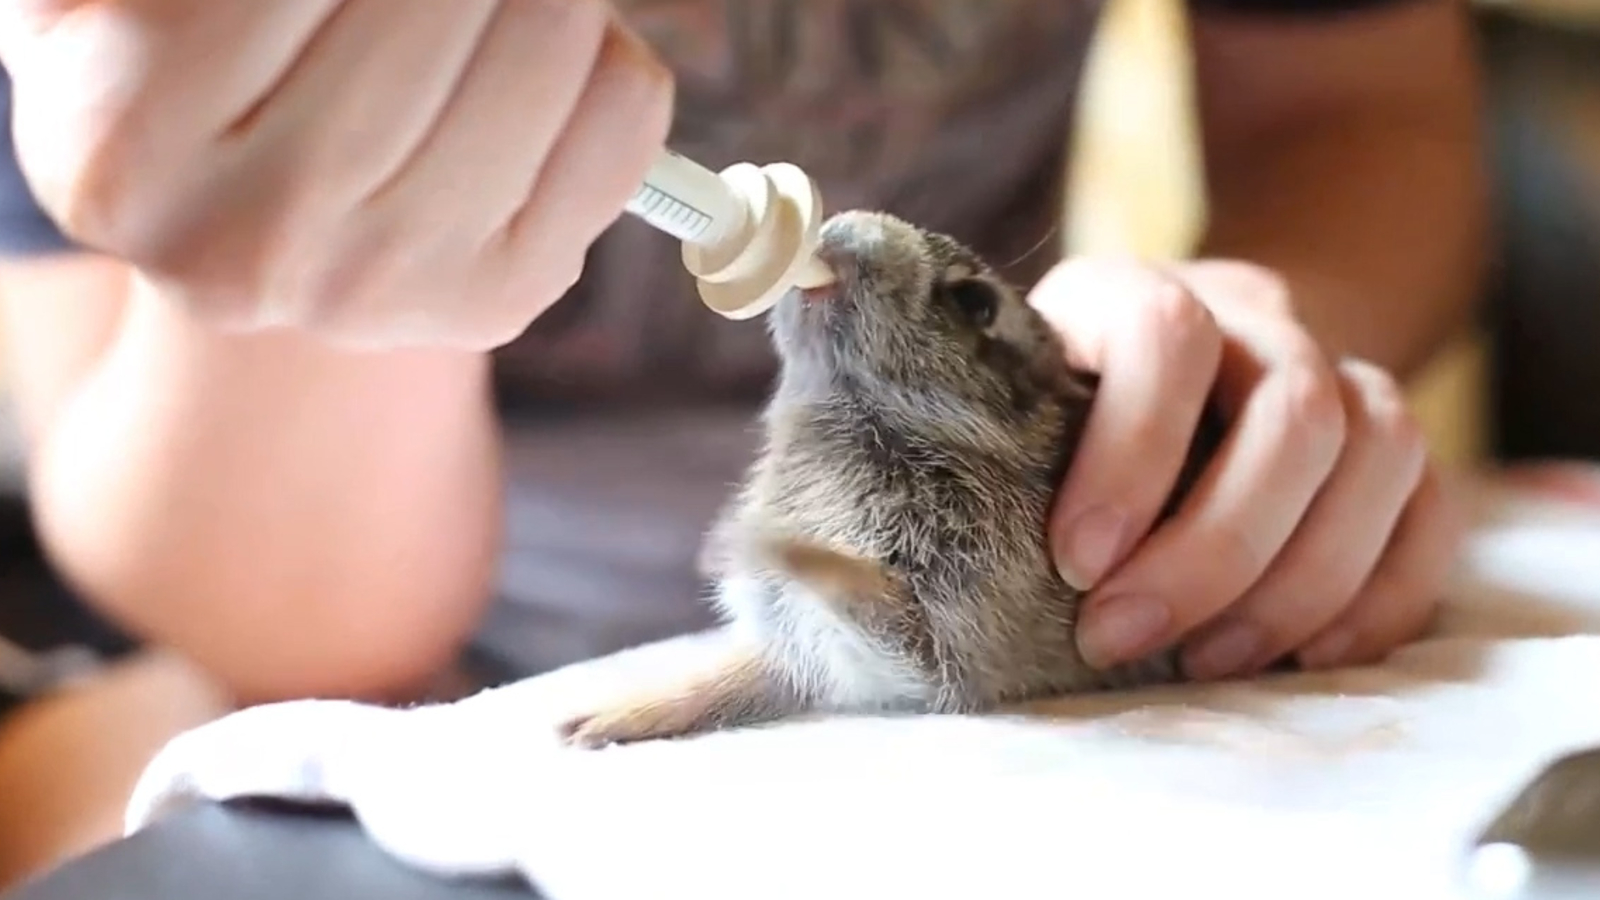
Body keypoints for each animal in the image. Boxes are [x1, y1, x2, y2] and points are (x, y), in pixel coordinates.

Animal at [558, 210, 1221, 749]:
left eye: (976, 302)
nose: (840, 232)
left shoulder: (940, 636)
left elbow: (863, 594)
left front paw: (758, 543)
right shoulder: (799, 645)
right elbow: (741, 677)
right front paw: (612, 717)